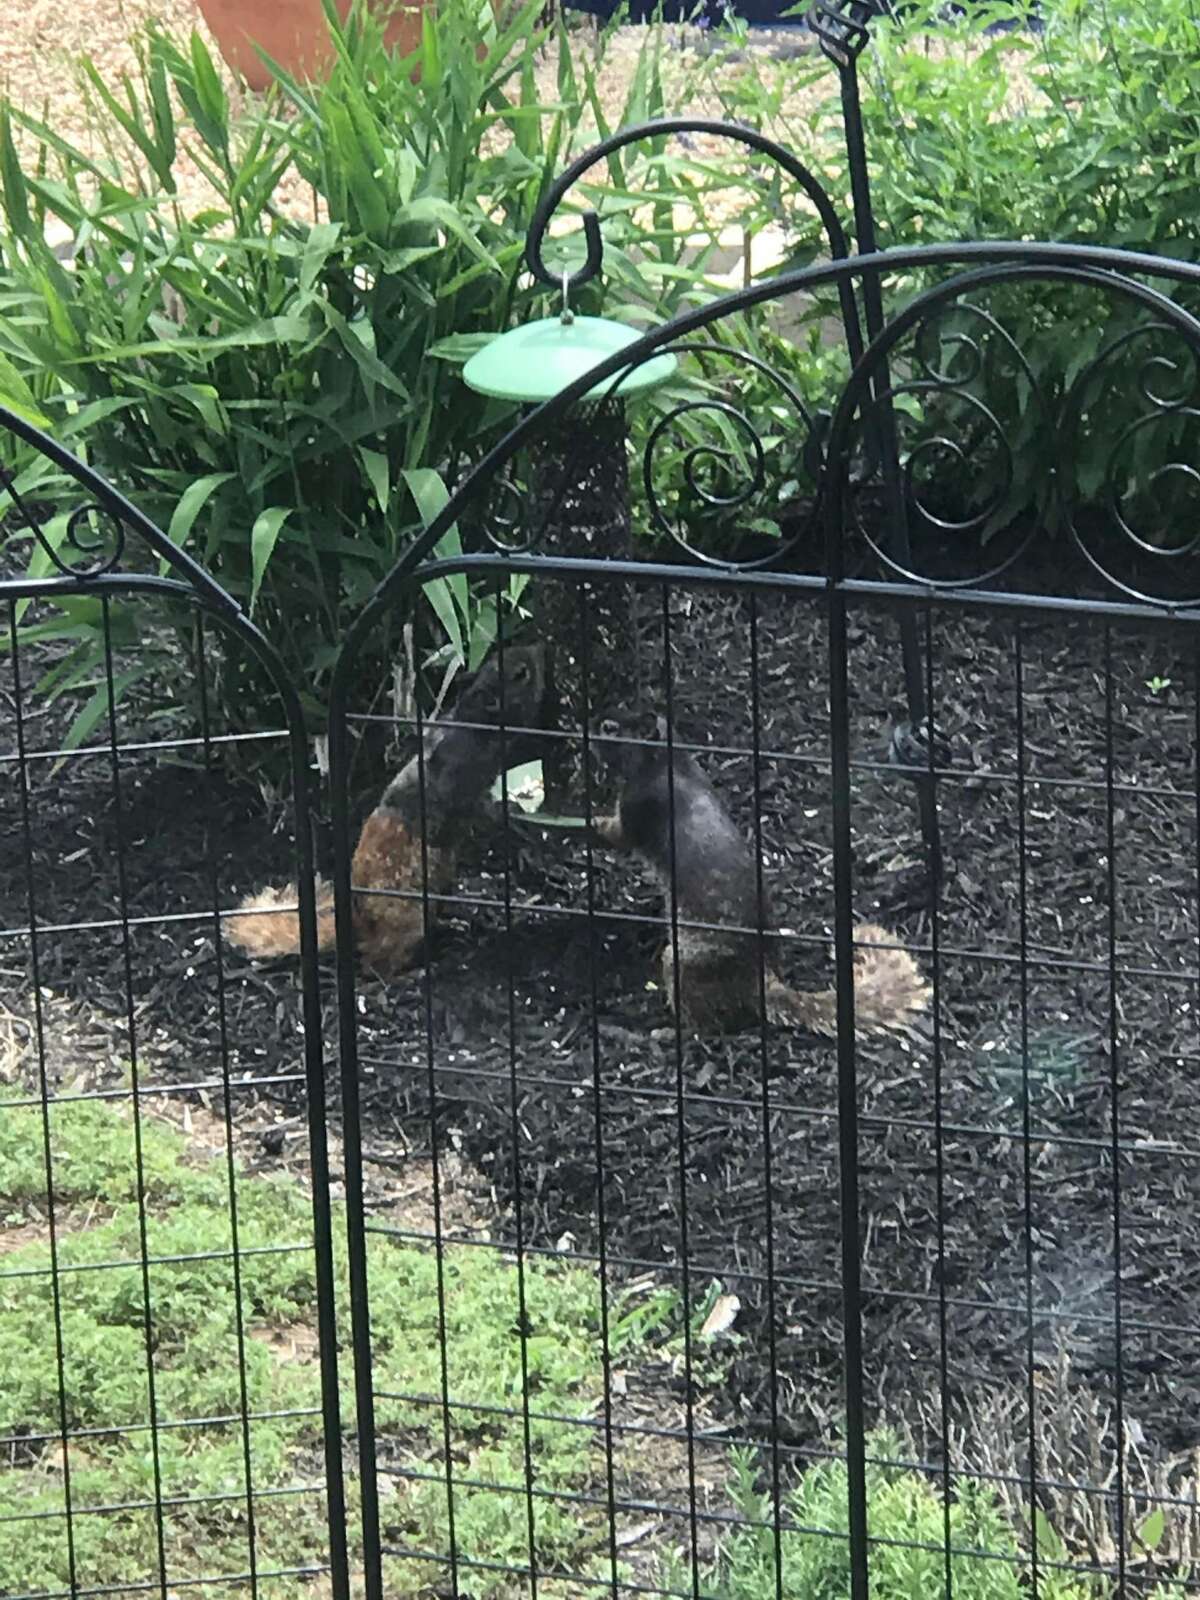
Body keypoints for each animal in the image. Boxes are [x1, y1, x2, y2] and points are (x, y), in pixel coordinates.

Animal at [227, 643, 551, 974]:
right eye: (521, 673)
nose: (539, 648)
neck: (471, 722)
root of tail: (356, 926)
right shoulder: (463, 782)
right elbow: (483, 809)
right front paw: (515, 817)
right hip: (408, 916)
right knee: (379, 961)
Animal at [593, 717, 930, 1036]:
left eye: (612, 729)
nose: (595, 730)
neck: (668, 760)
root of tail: (760, 985)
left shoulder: (639, 806)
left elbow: (618, 832)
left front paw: (594, 821)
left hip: (684, 964)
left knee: (708, 1024)